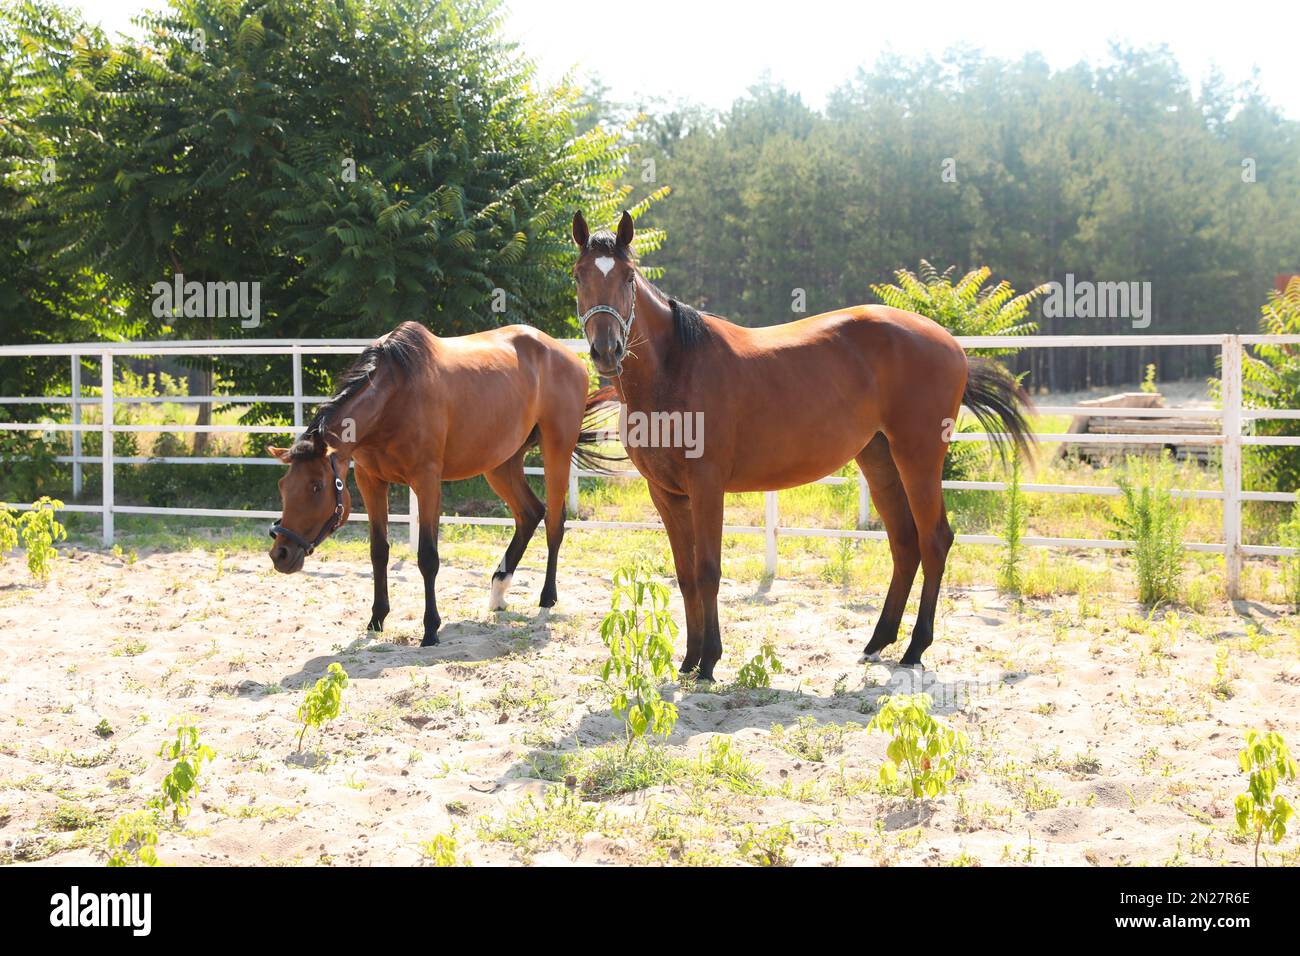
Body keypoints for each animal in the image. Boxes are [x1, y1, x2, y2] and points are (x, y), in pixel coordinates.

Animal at [267, 320, 614, 647]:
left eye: (316, 487)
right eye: (283, 486)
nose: (280, 554)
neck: (395, 395)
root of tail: (570, 357)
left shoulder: (427, 481)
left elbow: (428, 557)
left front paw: (431, 629)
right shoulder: (370, 481)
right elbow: (379, 551)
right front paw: (377, 619)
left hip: (556, 451)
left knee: (554, 521)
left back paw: (546, 599)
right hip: (501, 463)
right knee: (530, 514)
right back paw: (498, 590)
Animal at [571, 210, 1034, 679]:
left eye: (629, 277)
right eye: (579, 275)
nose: (607, 350)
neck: (677, 367)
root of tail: (951, 344)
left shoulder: (707, 488)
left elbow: (707, 571)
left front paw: (709, 660)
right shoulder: (665, 493)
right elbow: (684, 575)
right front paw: (688, 660)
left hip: (918, 459)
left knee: (934, 539)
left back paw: (914, 647)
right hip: (880, 460)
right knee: (904, 543)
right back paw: (878, 642)